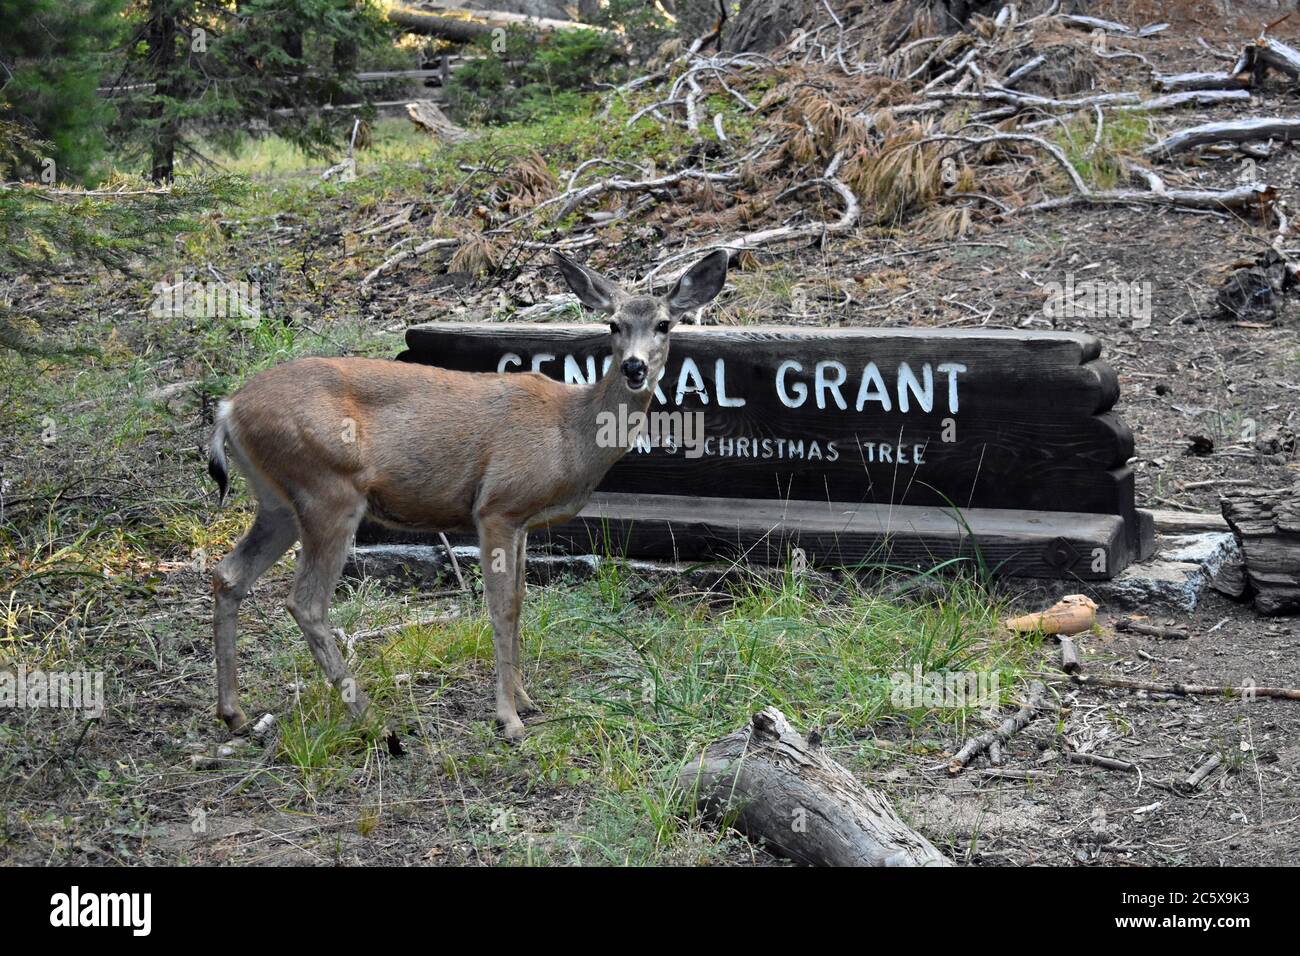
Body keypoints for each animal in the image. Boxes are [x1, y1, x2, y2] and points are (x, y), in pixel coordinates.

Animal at [206, 249, 729, 743]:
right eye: (614, 324)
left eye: (664, 324)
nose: (634, 366)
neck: (570, 432)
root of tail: (229, 409)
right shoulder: (497, 505)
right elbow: (501, 607)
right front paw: (508, 719)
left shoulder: (523, 521)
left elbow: (520, 599)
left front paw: (526, 699)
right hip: (327, 489)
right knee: (307, 603)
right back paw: (371, 719)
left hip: (278, 501)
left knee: (229, 573)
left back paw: (235, 714)